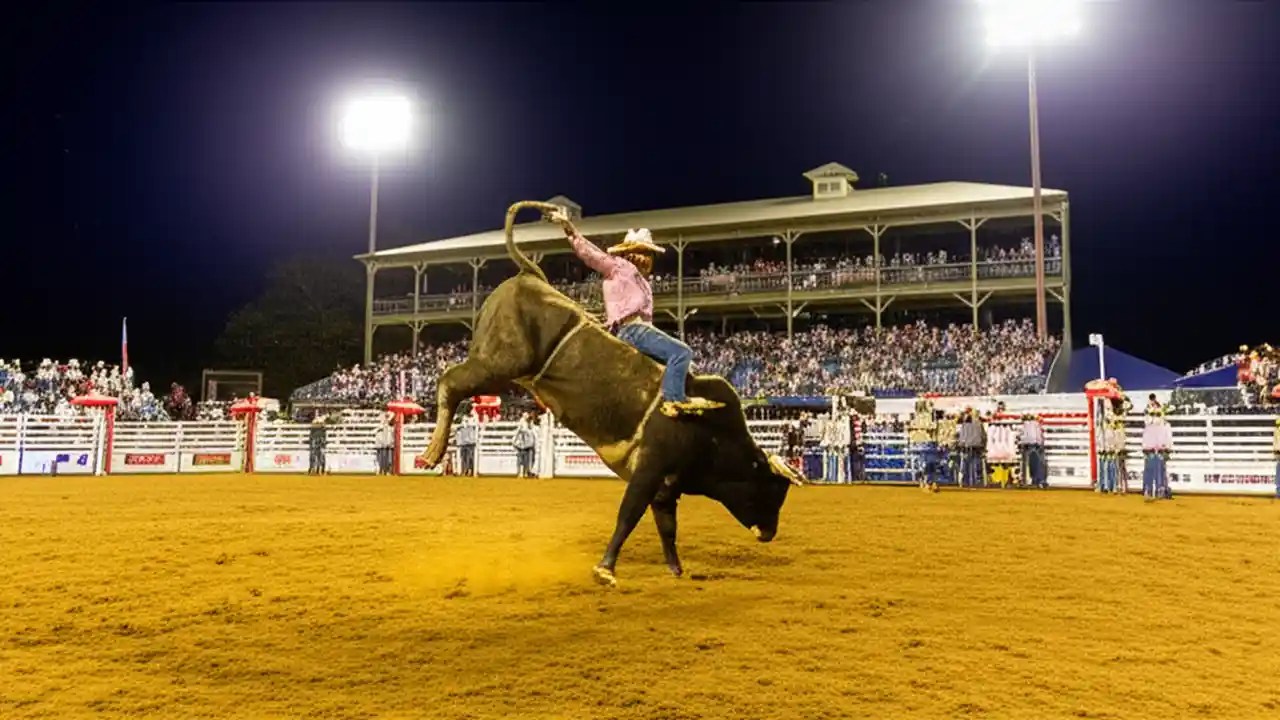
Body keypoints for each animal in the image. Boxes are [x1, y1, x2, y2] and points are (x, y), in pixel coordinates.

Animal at [418, 200, 803, 586]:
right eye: (771, 489)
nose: (770, 533)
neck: (713, 433)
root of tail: (530, 275)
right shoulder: (648, 472)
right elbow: (628, 516)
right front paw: (605, 569)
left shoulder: (666, 487)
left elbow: (667, 528)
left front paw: (677, 571)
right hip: (498, 363)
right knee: (449, 382)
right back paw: (431, 454)